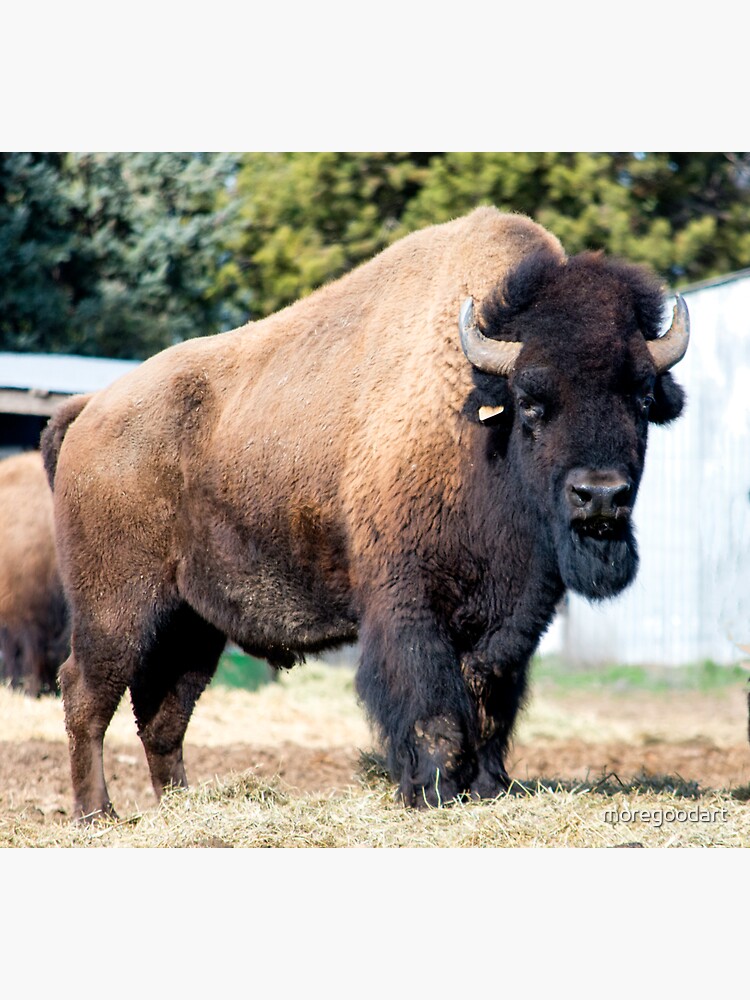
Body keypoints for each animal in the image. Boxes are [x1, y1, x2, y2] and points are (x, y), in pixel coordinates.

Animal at [41, 207, 689, 819]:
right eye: (531, 400)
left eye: (642, 396)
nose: (600, 494)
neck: (479, 424)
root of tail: (90, 410)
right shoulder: (410, 602)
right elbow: (432, 705)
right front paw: (431, 790)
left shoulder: (511, 619)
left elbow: (489, 704)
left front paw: (487, 787)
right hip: (116, 607)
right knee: (86, 693)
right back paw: (97, 814)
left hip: (191, 623)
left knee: (163, 713)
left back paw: (179, 808)